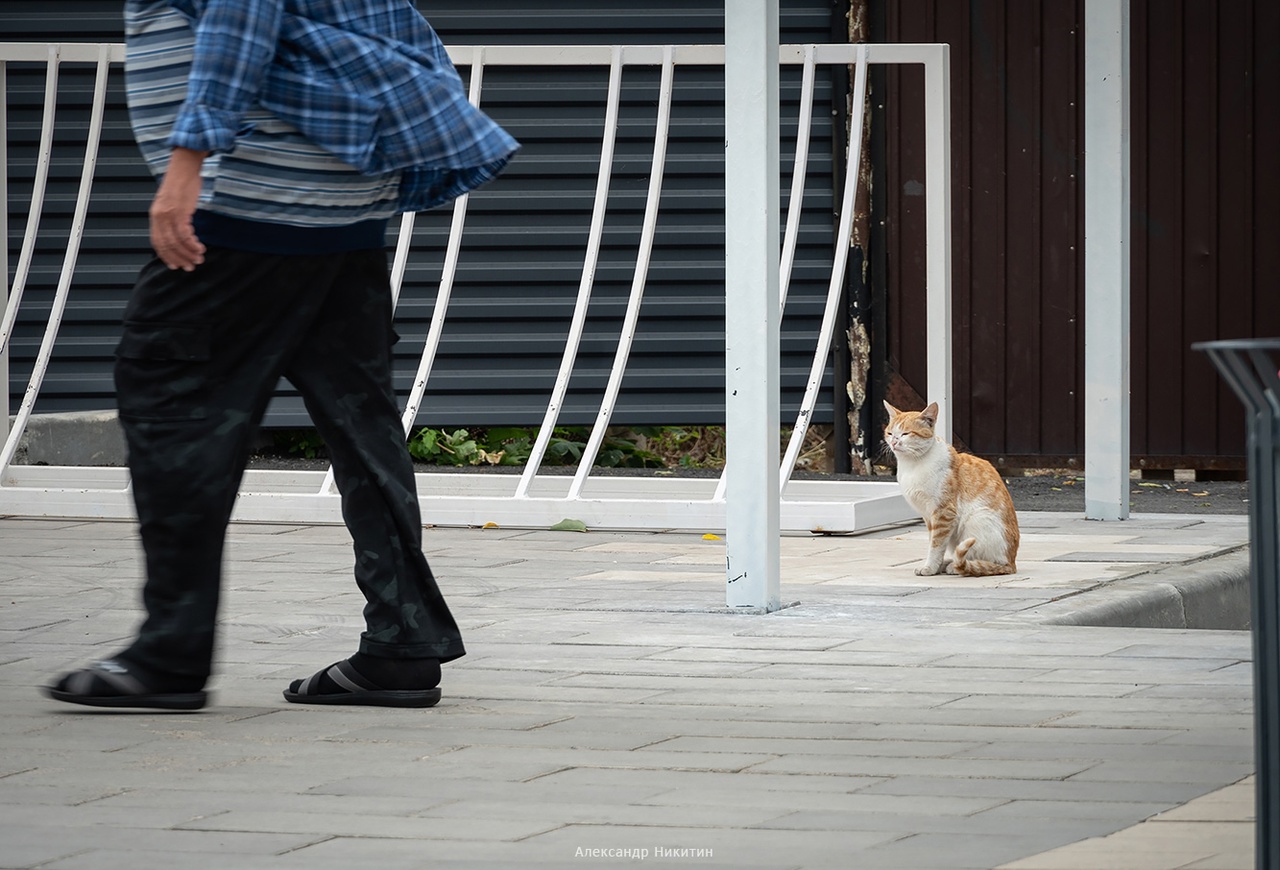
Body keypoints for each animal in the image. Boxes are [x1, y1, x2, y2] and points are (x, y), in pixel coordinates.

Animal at [880, 401, 1018, 578]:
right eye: (890, 433)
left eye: (905, 433)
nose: (894, 442)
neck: (912, 466)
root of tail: (1012, 562)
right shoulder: (928, 516)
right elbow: (933, 542)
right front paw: (935, 565)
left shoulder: (943, 512)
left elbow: (936, 545)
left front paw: (930, 567)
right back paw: (949, 563)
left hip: (978, 519)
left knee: (991, 564)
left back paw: (958, 566)